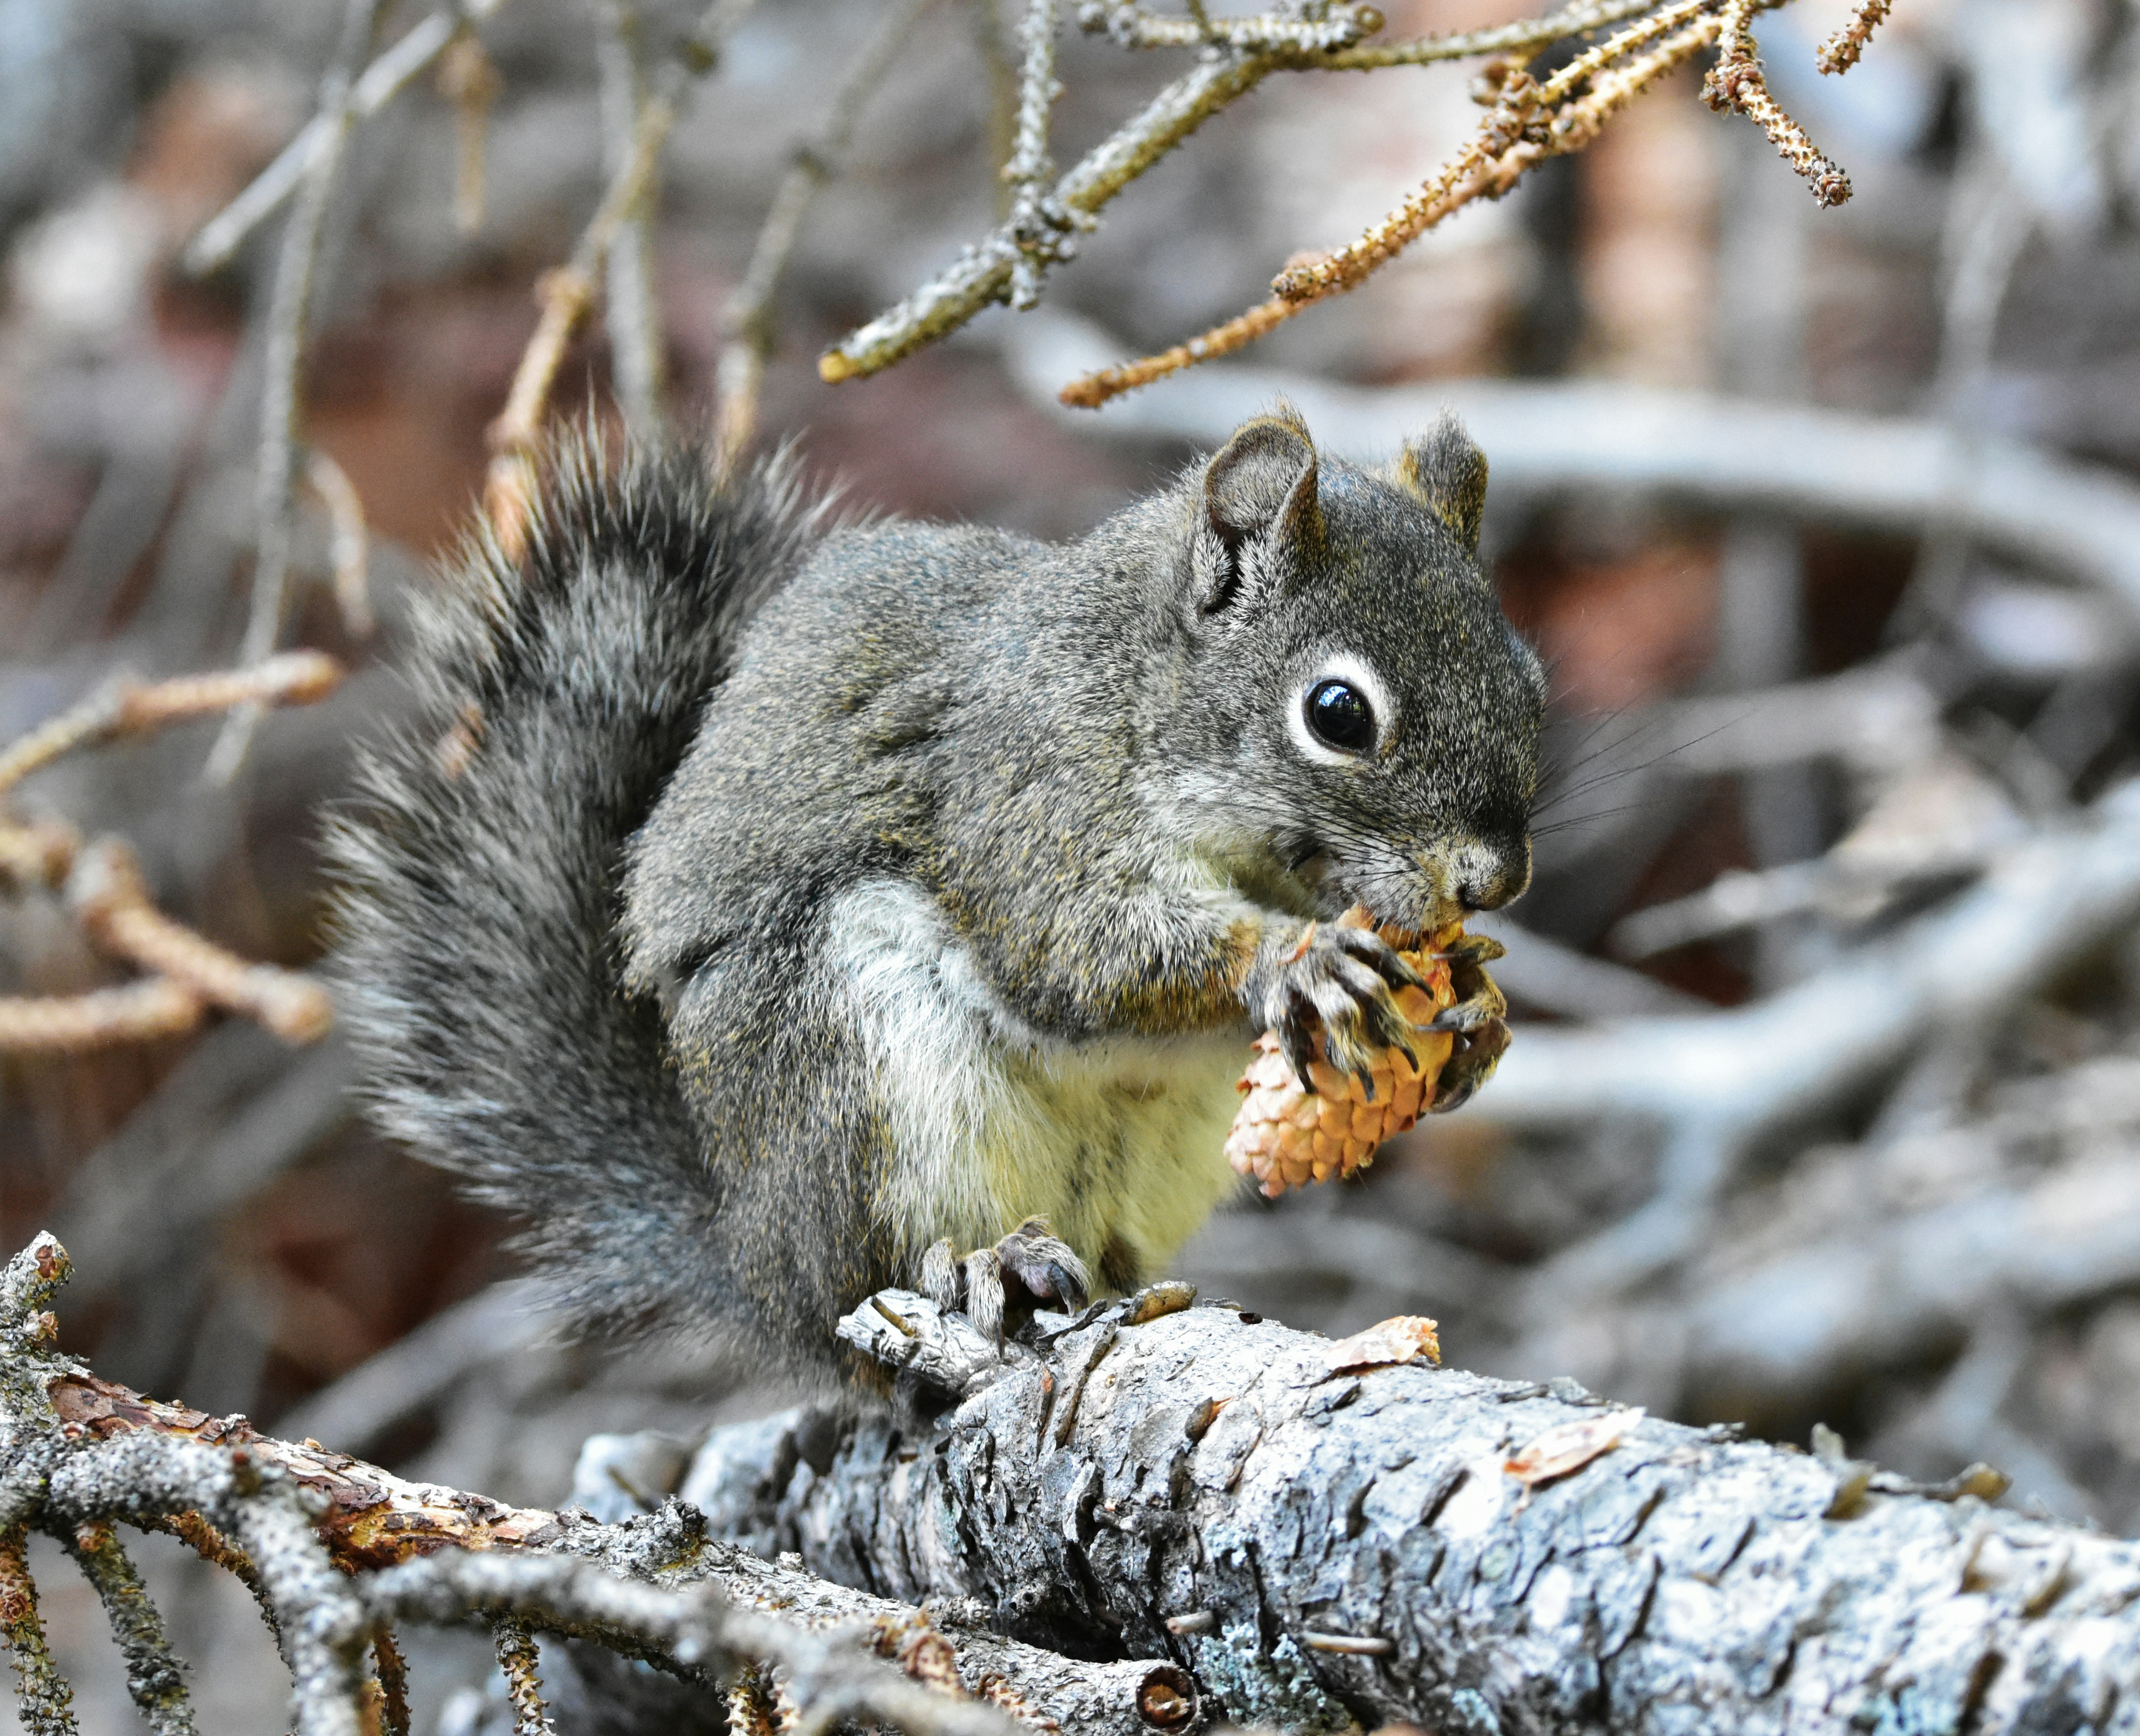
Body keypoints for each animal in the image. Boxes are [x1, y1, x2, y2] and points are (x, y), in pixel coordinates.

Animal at [328, 405, 1544, 1379]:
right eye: (1337, 713)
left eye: (1527, 677)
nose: (1493, 878)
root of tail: (755, 1263)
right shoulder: (1017, 792)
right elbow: (1073, 946)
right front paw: (1301, 958)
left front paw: (1474, 1009)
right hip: (852, 1064)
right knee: (882, 1258)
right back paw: (979, 1264)